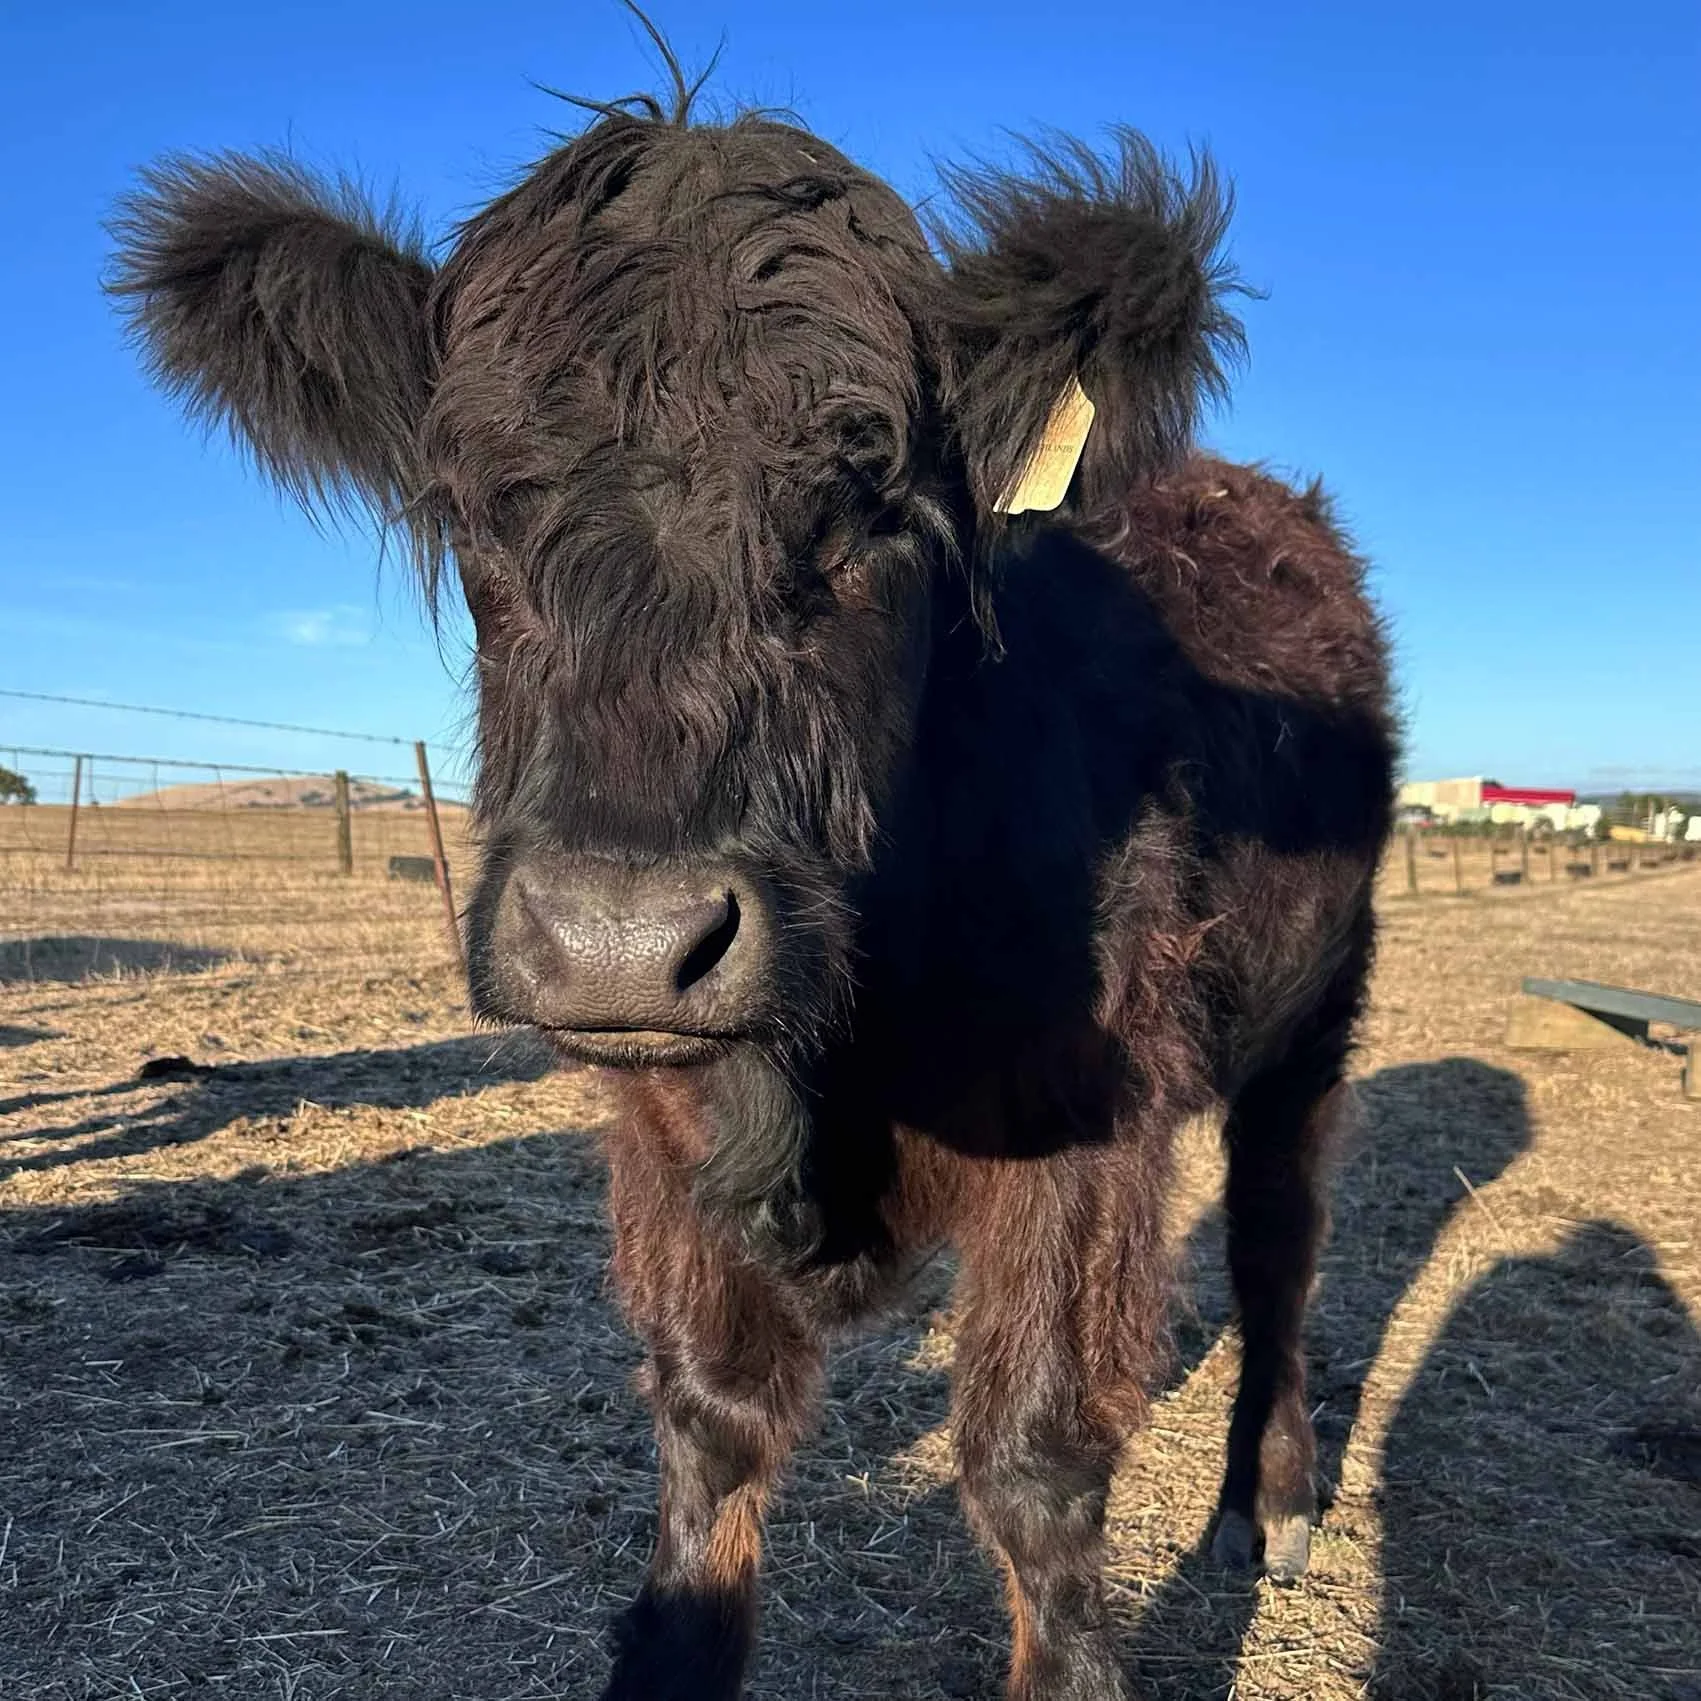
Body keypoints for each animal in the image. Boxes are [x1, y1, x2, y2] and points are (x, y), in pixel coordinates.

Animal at [110, 49, 1397, 1701]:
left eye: (870, 508)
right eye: (477, 504)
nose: (620, 936)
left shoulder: (1090, 1132)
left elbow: (1033, 1459)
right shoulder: (663, 1137)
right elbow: (710, 1435)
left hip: (1317, 1004)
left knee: (1279, 1234)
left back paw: (1272, 1495)